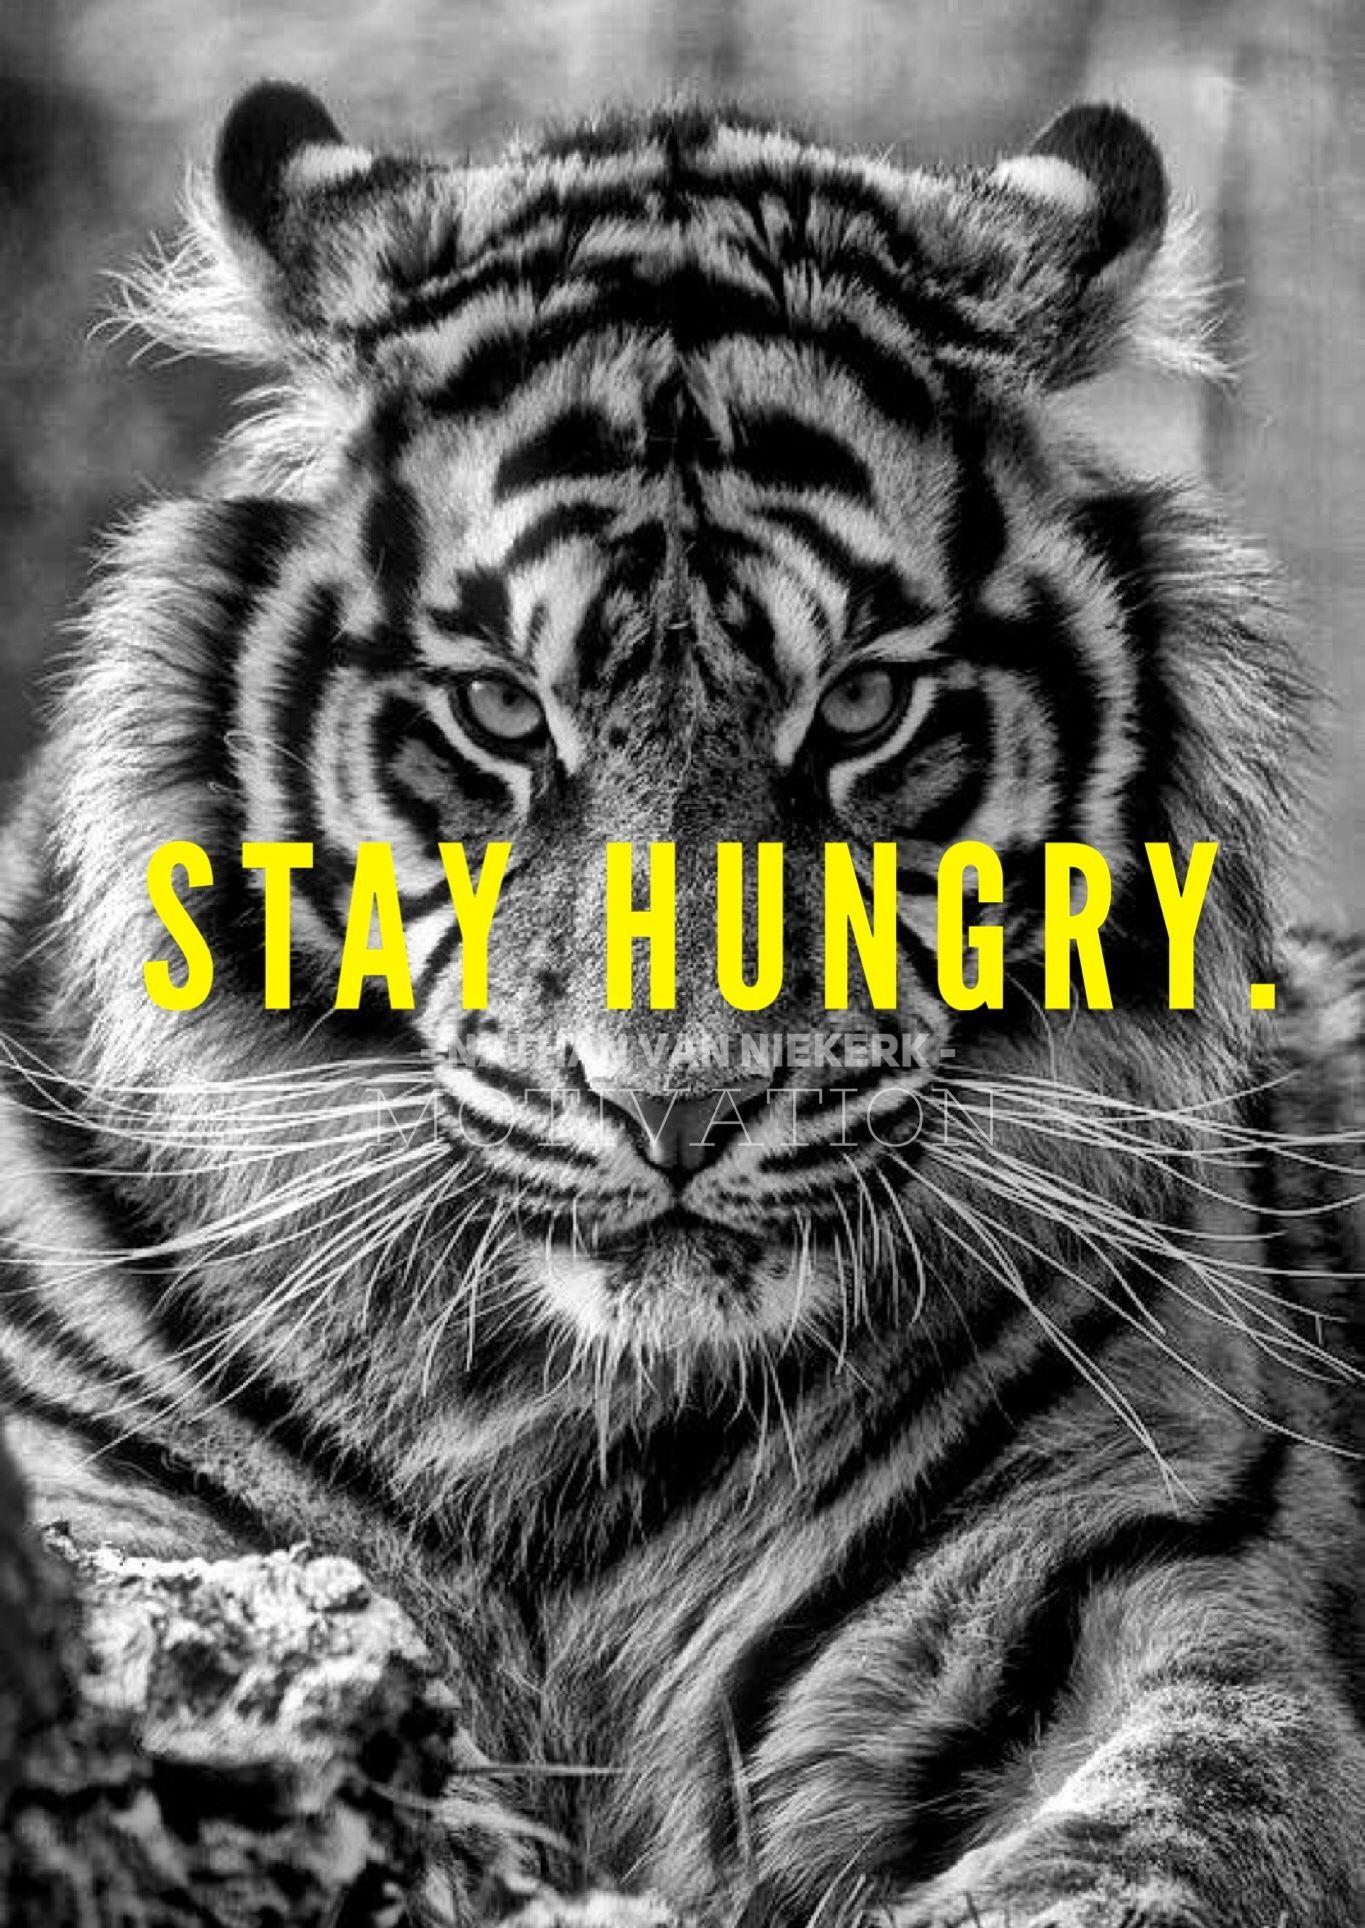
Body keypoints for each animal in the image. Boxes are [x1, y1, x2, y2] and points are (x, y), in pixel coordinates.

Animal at [0, 78, 1362, 1928]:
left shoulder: (1147, 1572)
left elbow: (1153, 1839)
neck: (572, 1425)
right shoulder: (115, 1511)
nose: (675, 1108)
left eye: (860, 706)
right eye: (501, 710)